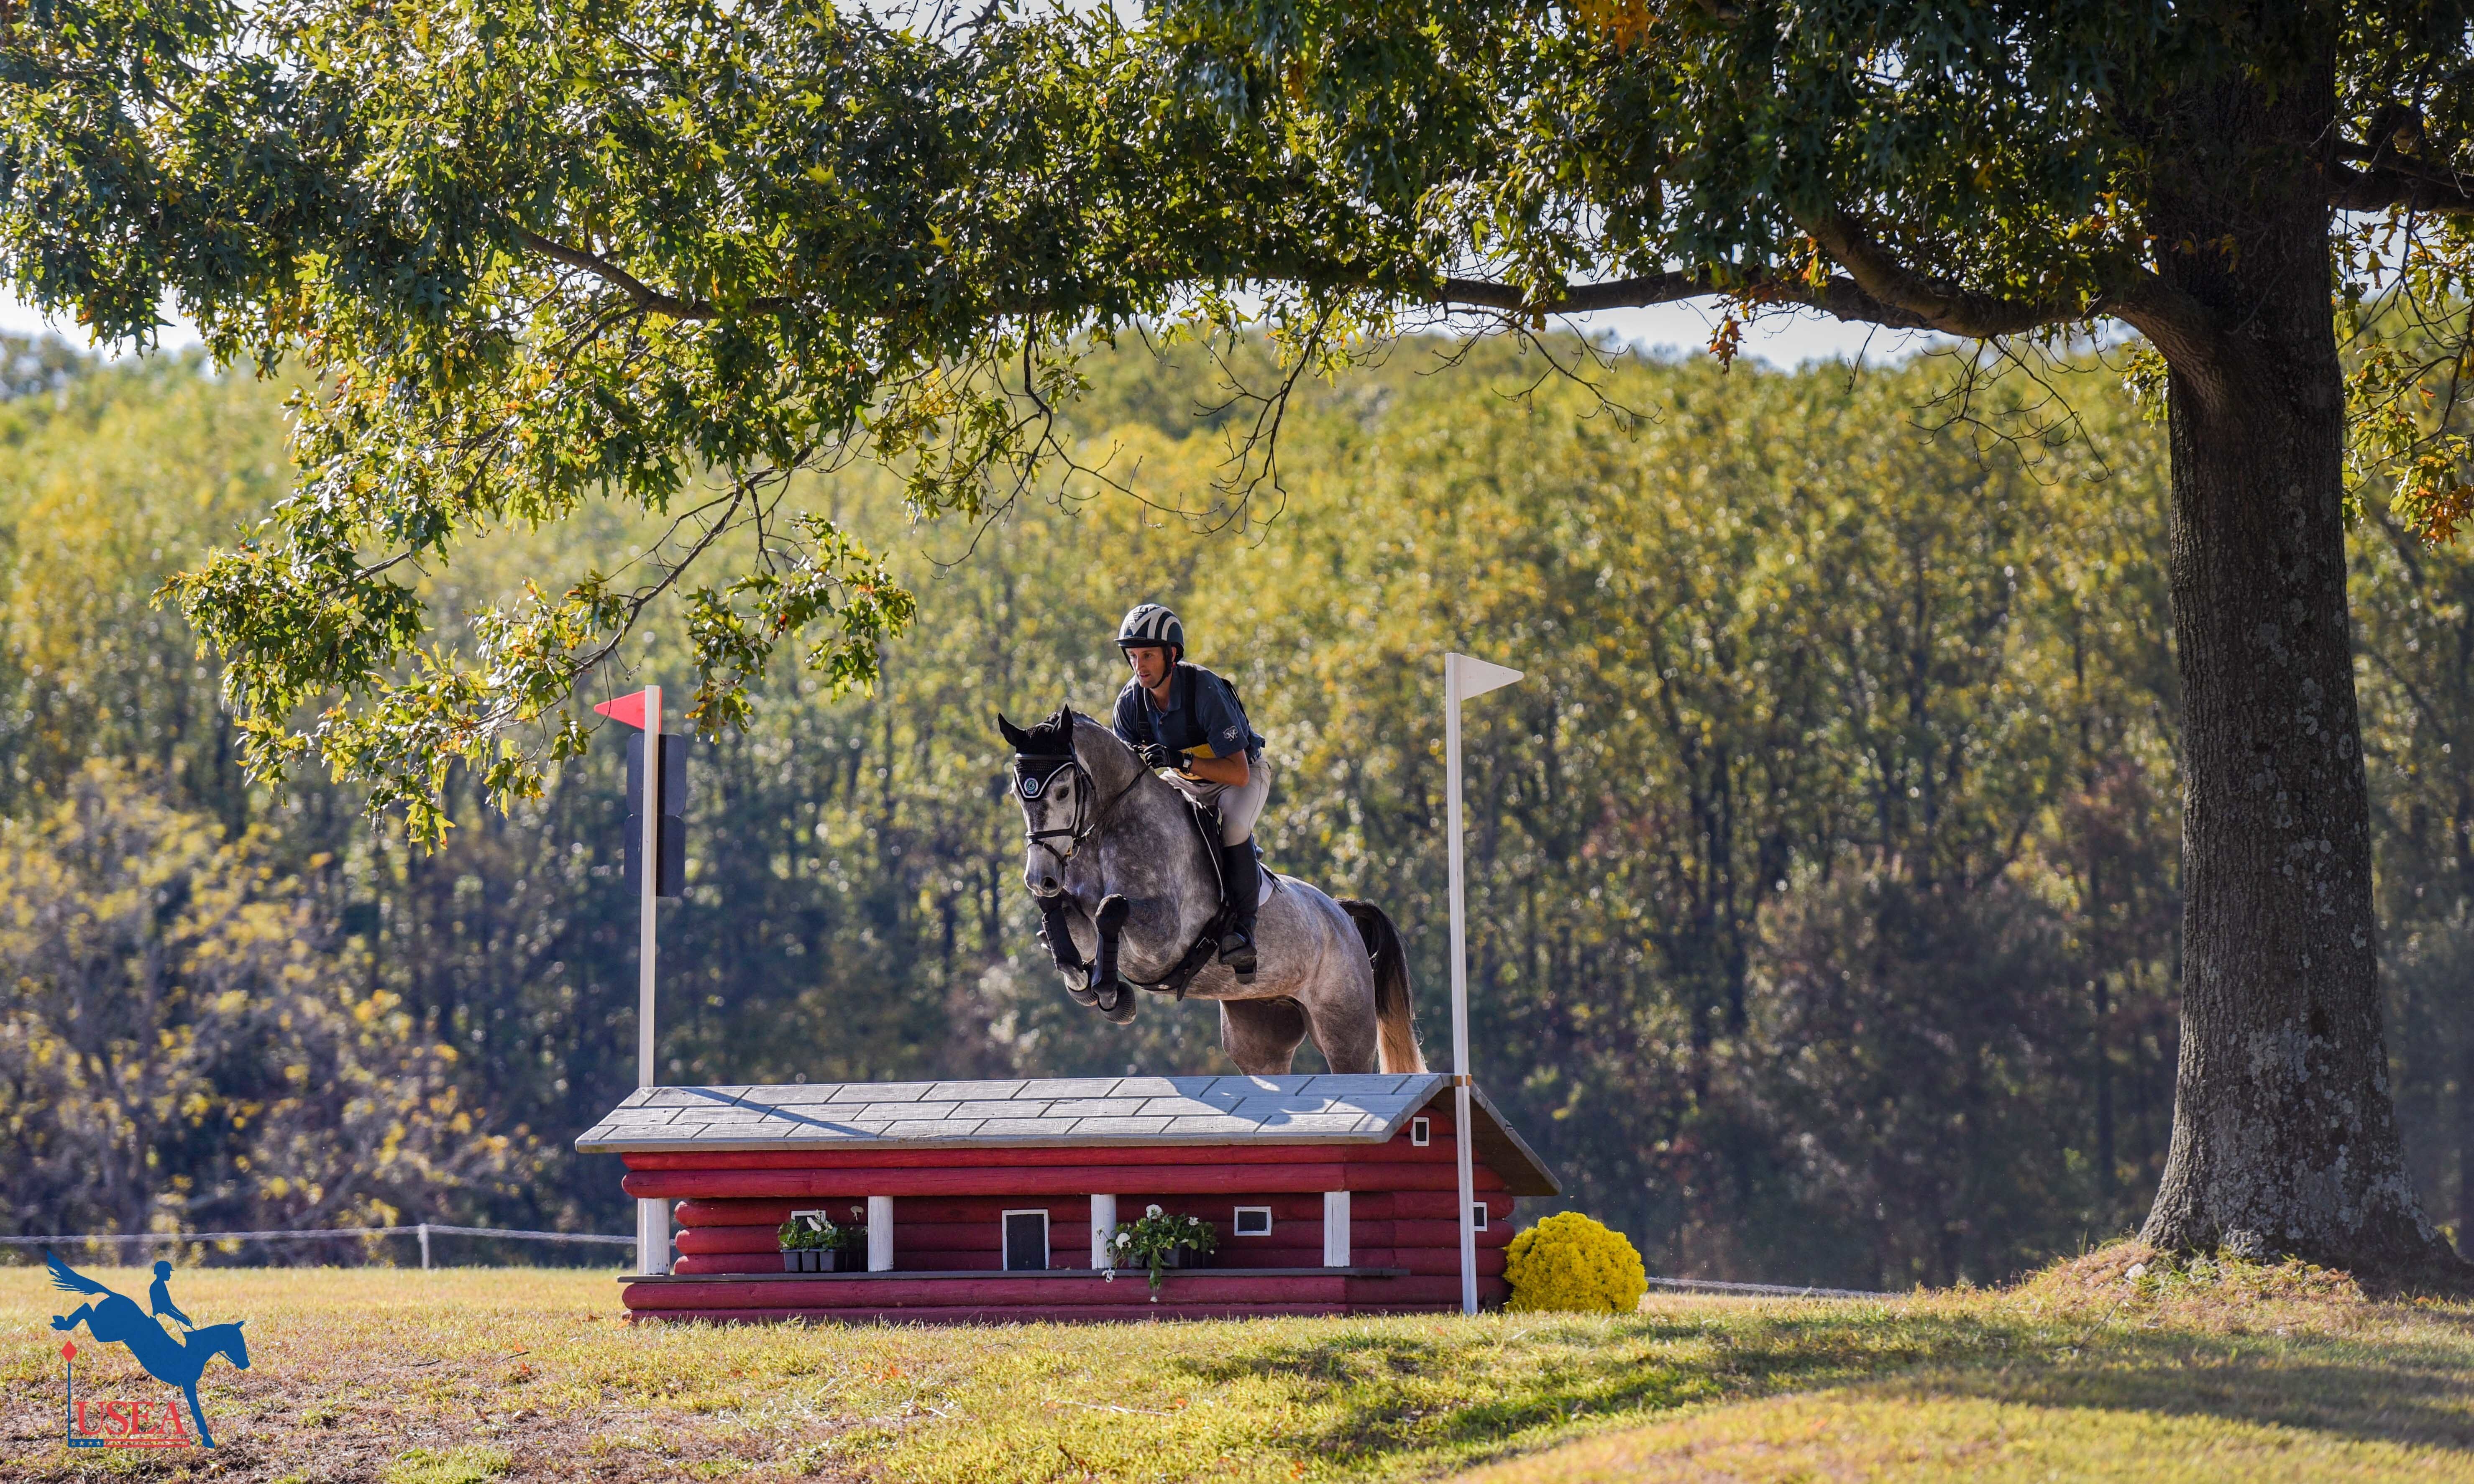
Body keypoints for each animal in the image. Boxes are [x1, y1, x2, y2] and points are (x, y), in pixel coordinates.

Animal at [47, 1251, 250, 1447]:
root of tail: (113, 1294)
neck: (195, 1351)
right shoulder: (187, 1383)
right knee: (86, 1308)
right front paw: (208, 1440)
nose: (246, 1365)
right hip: (107, 1333)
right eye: (236, 1342)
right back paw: (61, 1323)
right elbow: (196, 1410)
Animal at [998, 706, 1423, 1074]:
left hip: (1344, 1032)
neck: (1109, 826)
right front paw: (1079, 977)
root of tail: (1342, 915)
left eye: (1062, 792)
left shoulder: (1161, 938)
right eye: (1018, 794)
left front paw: (1108, 991)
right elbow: (1064, 922)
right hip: (1259, 1035)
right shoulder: (1084, 922)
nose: (1039, 877)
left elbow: (1110, 909)